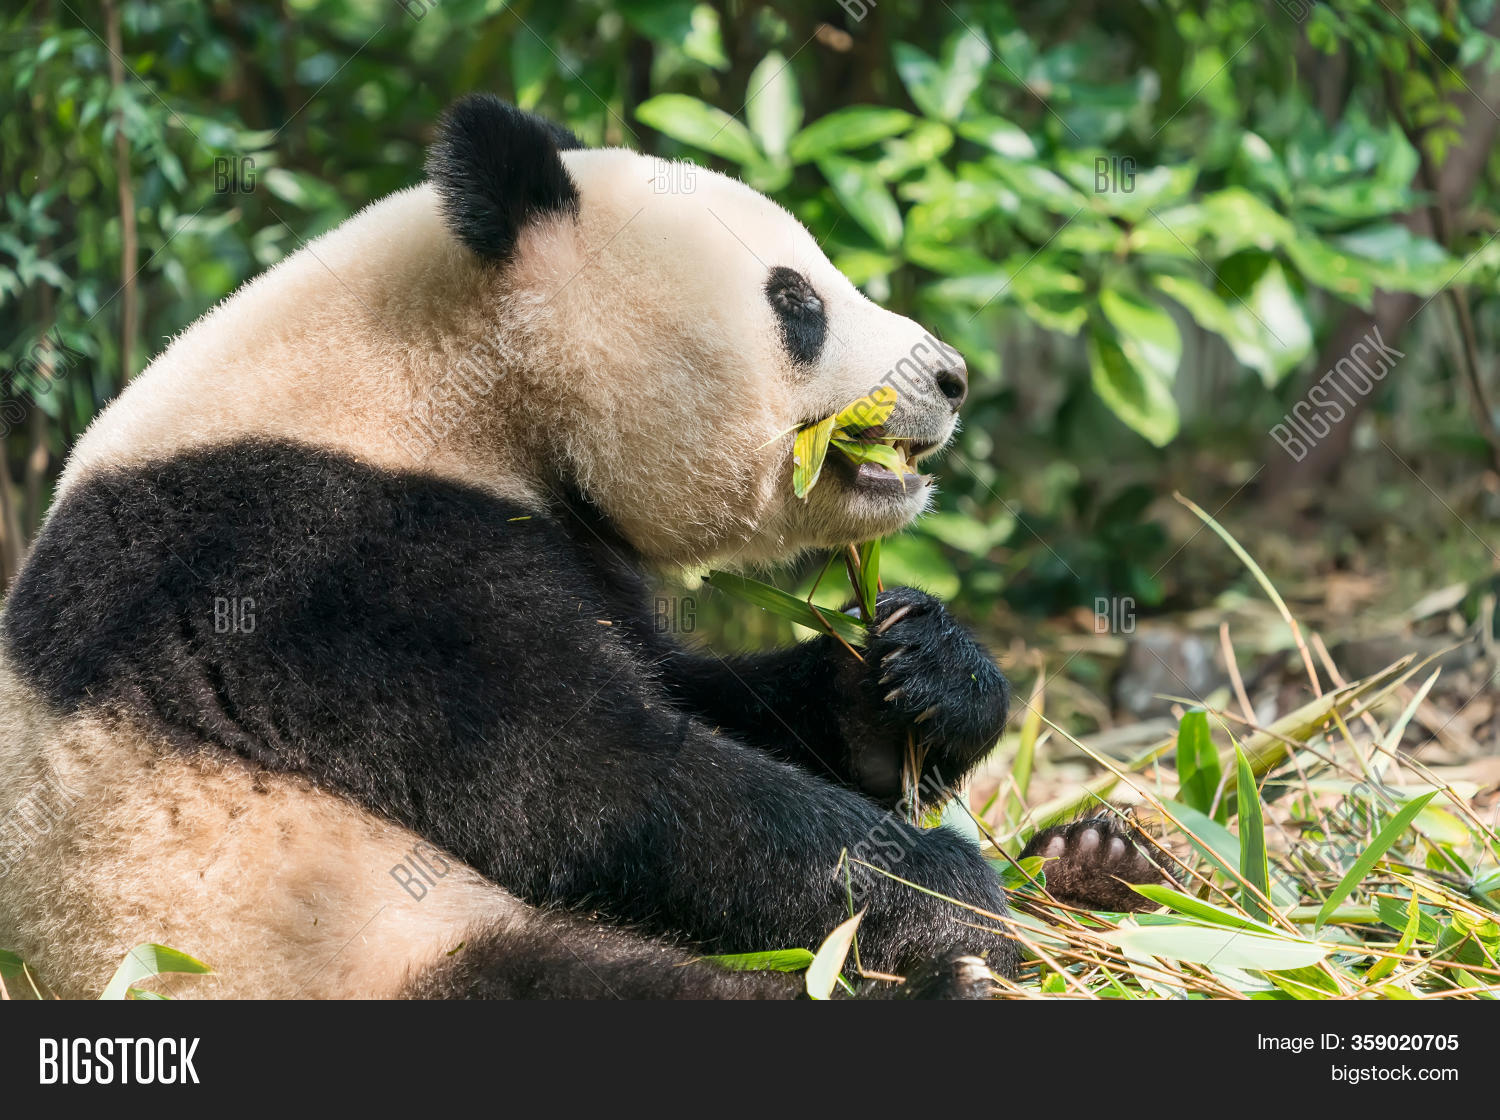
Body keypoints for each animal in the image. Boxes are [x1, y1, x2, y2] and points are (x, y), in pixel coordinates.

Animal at [0, 94, 1171, 999]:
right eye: (797, 301)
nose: (952, 377)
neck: (451, 377)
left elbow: (698, 690)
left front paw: (920, 673)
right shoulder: (321, 555)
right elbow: (594, 786)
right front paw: (946, 897)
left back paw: (1100, 861)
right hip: (285, 940)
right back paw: (953, 975)